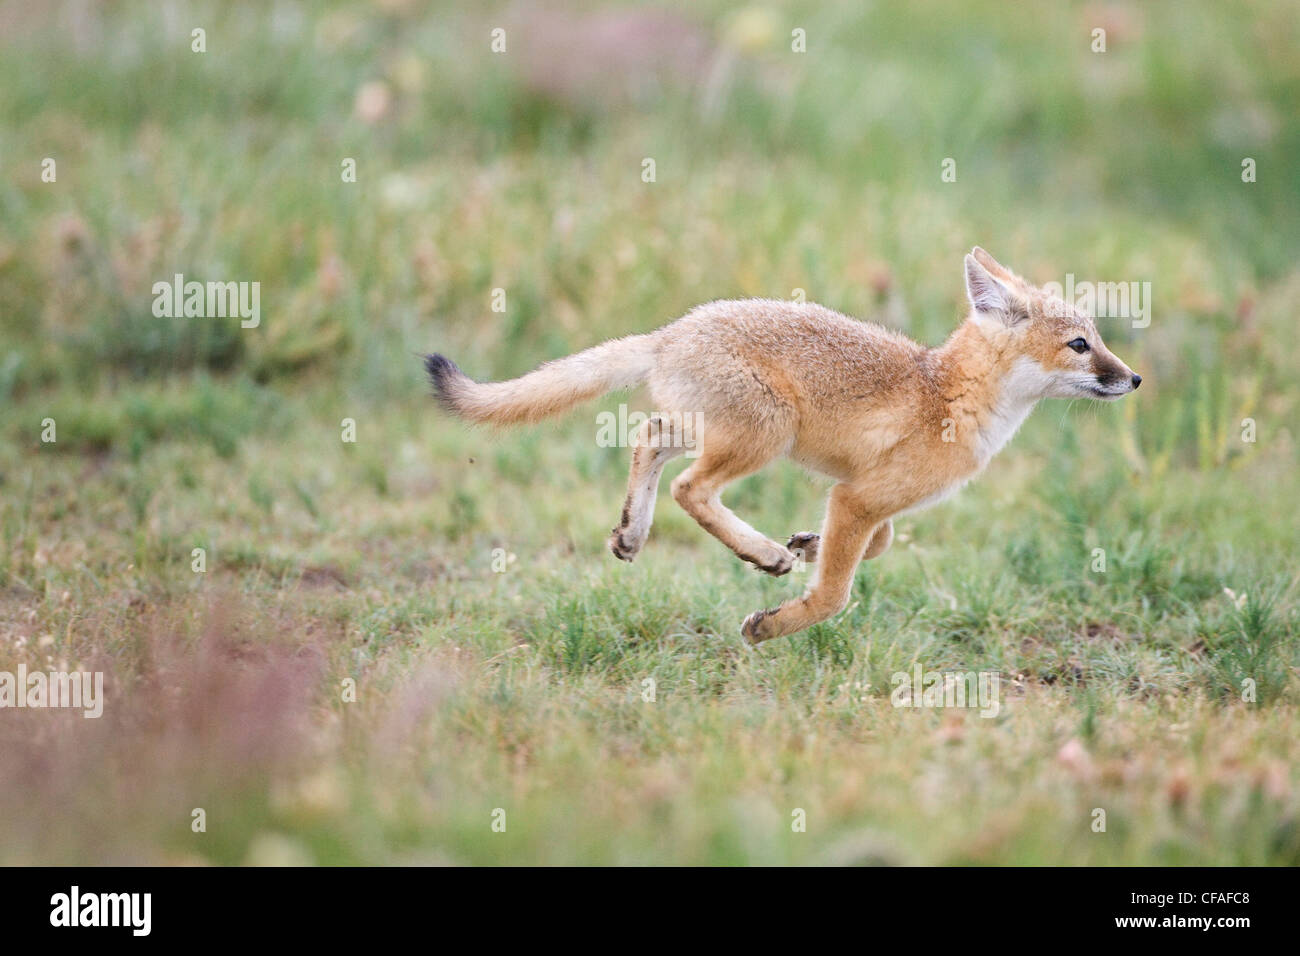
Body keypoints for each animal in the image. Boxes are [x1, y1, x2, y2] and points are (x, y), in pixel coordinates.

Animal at [425, 247, 1141, 643]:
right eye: (1081, 345)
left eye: (1098, 339)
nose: (1133, 378)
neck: (946, 392)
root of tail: (670, 332)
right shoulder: (857, 497)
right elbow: (835, 595)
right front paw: (771, 622)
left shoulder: (861, 497)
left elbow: (879, 543)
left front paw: (808, 543)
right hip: (766, 434)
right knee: (689, 487)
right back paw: (760, 553)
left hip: (713, 428)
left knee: (647, 441)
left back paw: (633, 533)